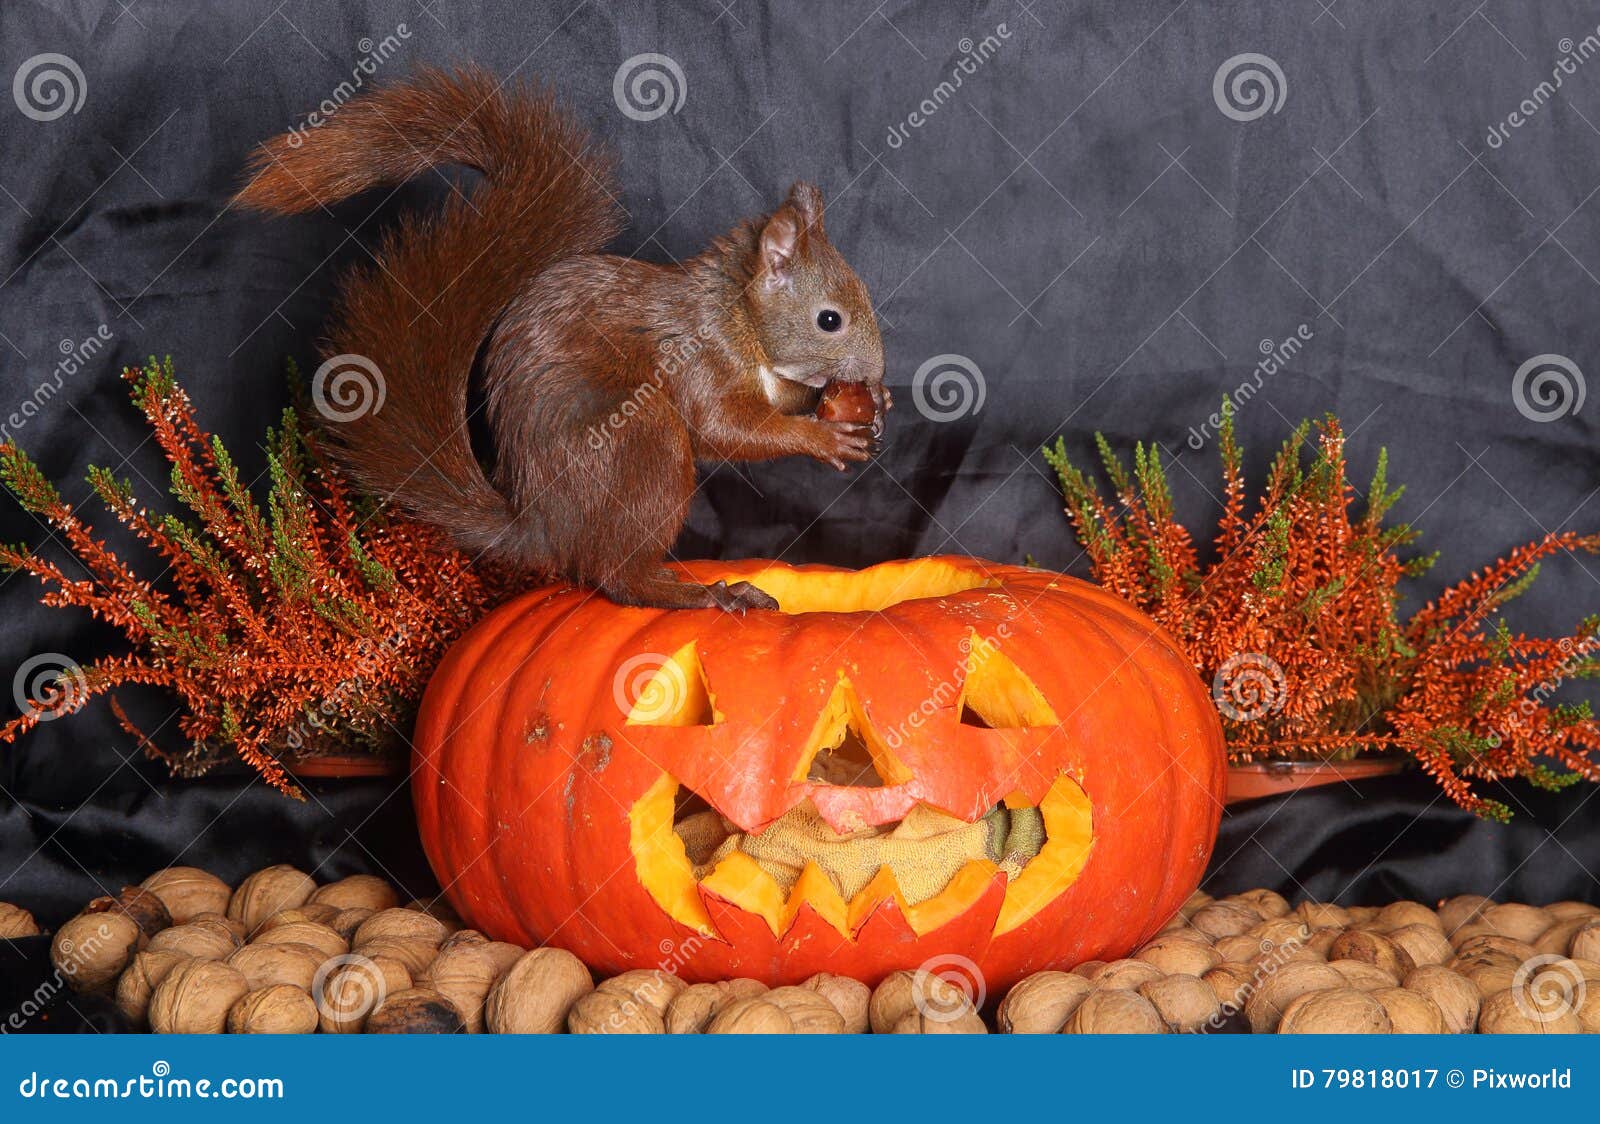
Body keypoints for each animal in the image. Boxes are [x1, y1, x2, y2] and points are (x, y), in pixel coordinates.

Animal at [234, 66, 888, 611]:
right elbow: (727, 428)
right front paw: (822, 436)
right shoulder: (700, 355)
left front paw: (868, 406)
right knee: (615, 575)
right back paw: (703, 594)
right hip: (641, 443)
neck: (741, 320)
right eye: (830, 319)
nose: (878, 373)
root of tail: (543, 529)